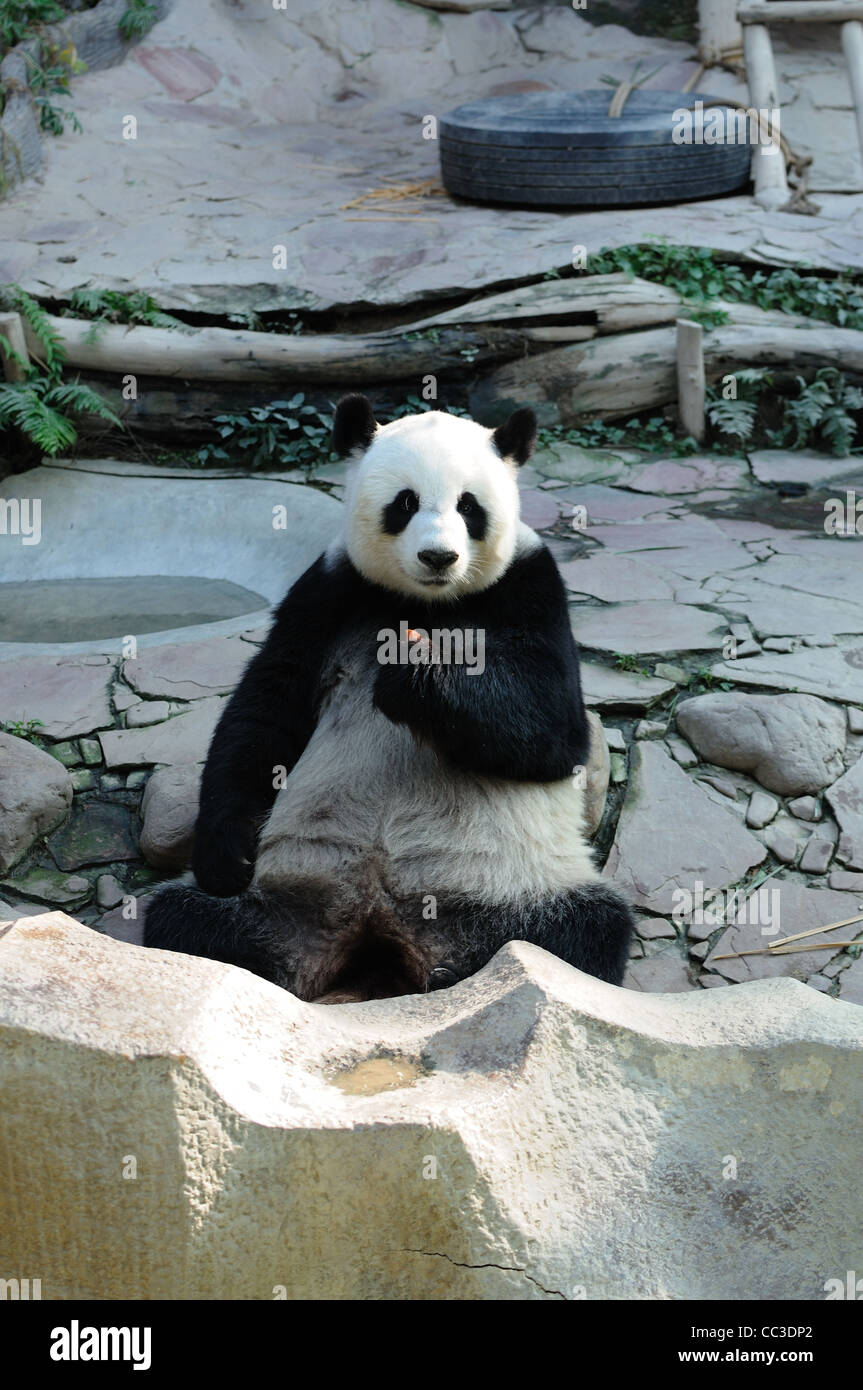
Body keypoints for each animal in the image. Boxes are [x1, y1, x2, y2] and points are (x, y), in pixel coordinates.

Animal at [143, 395, 634, 1002]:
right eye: (405, 502)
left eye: (469, 506)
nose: (439, 557)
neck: (427, 604)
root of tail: (378, 924)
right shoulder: (331, 588)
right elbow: (266, 710)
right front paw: (225, 852)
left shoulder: (529, 586)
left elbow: (554, 730)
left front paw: (416, 672)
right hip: (294, 885)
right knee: (185, 918)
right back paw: (263, 963)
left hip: (513, 887)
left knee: (583, 931)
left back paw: (472, 974)